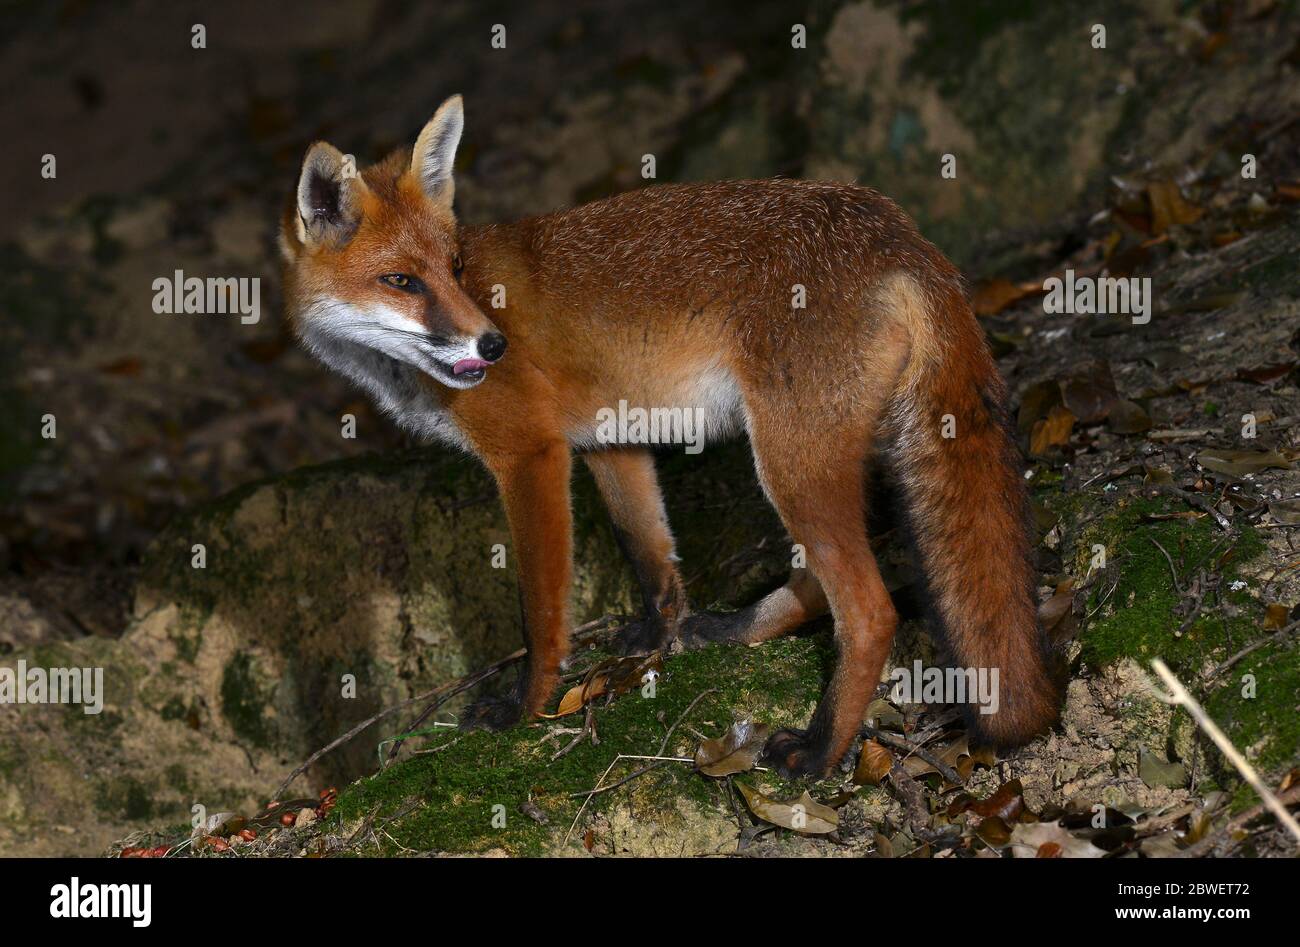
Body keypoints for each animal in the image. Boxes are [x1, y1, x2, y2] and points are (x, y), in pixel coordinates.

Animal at [278, 94, 1065, 778]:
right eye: (402, 280)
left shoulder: (532, 455)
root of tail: (901, 231)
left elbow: (542, 615)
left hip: (788, 460)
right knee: (822, 581)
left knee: (871, 610)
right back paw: (739, 631)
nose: (494, 345)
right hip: (810, 455)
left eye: (455, 268)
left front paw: (526, 708)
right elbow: (651, 557)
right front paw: (655, 642)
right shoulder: (610, 440)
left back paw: (819, 752)